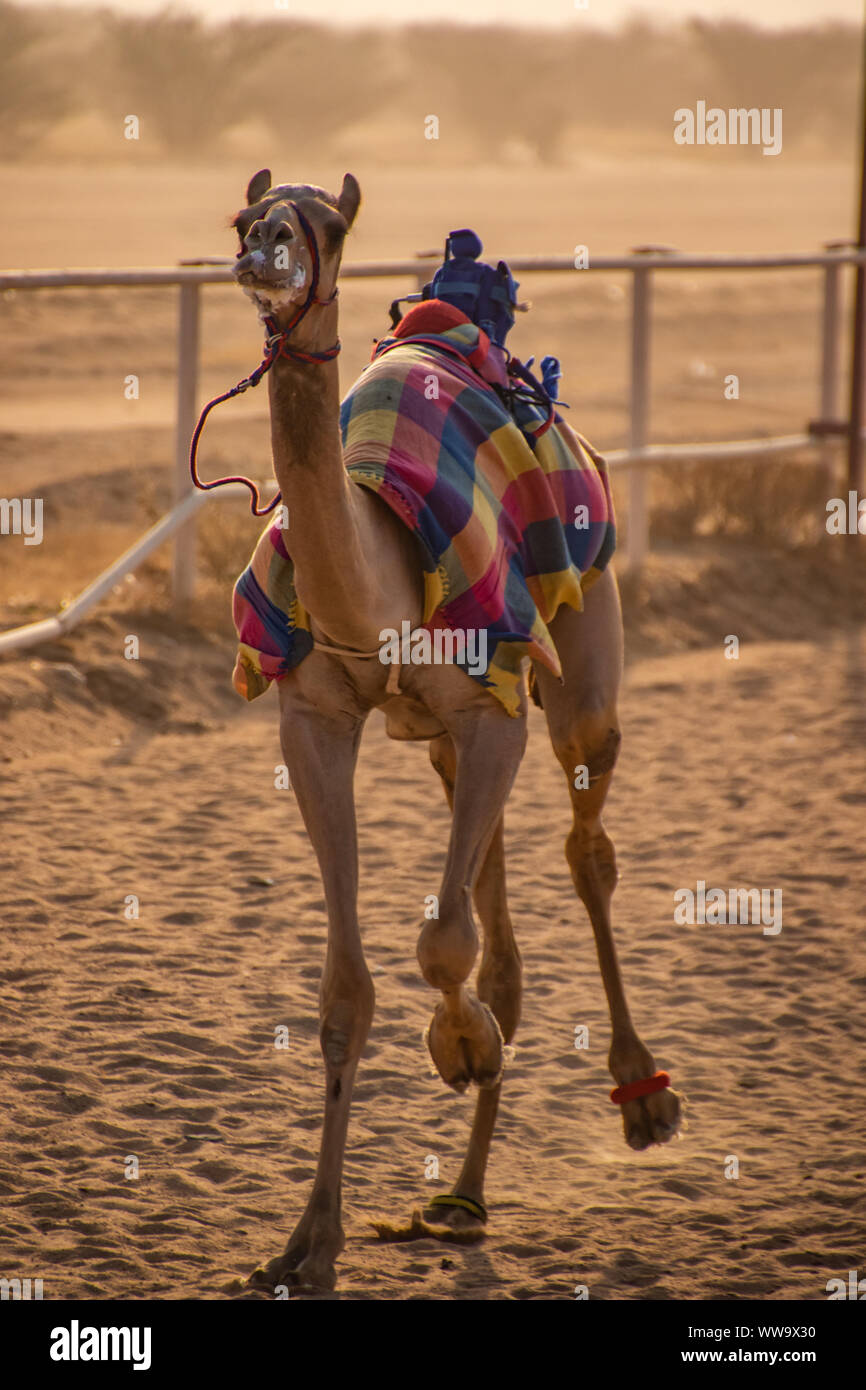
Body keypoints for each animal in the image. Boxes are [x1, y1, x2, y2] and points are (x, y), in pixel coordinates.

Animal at [221, 170, 681, 1295]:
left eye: (324, 226)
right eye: (245, 217)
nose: (264, 254)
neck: (373, 580)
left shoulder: (490, 701)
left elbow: (442, 942)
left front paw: (460, 1047)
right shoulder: (314, 721)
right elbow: (348, 986)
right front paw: (307, 1243)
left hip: (577, 653)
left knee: (585, 846)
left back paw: (640, 1095)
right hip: (442, 735)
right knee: (503, 913)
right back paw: (461, 1197)